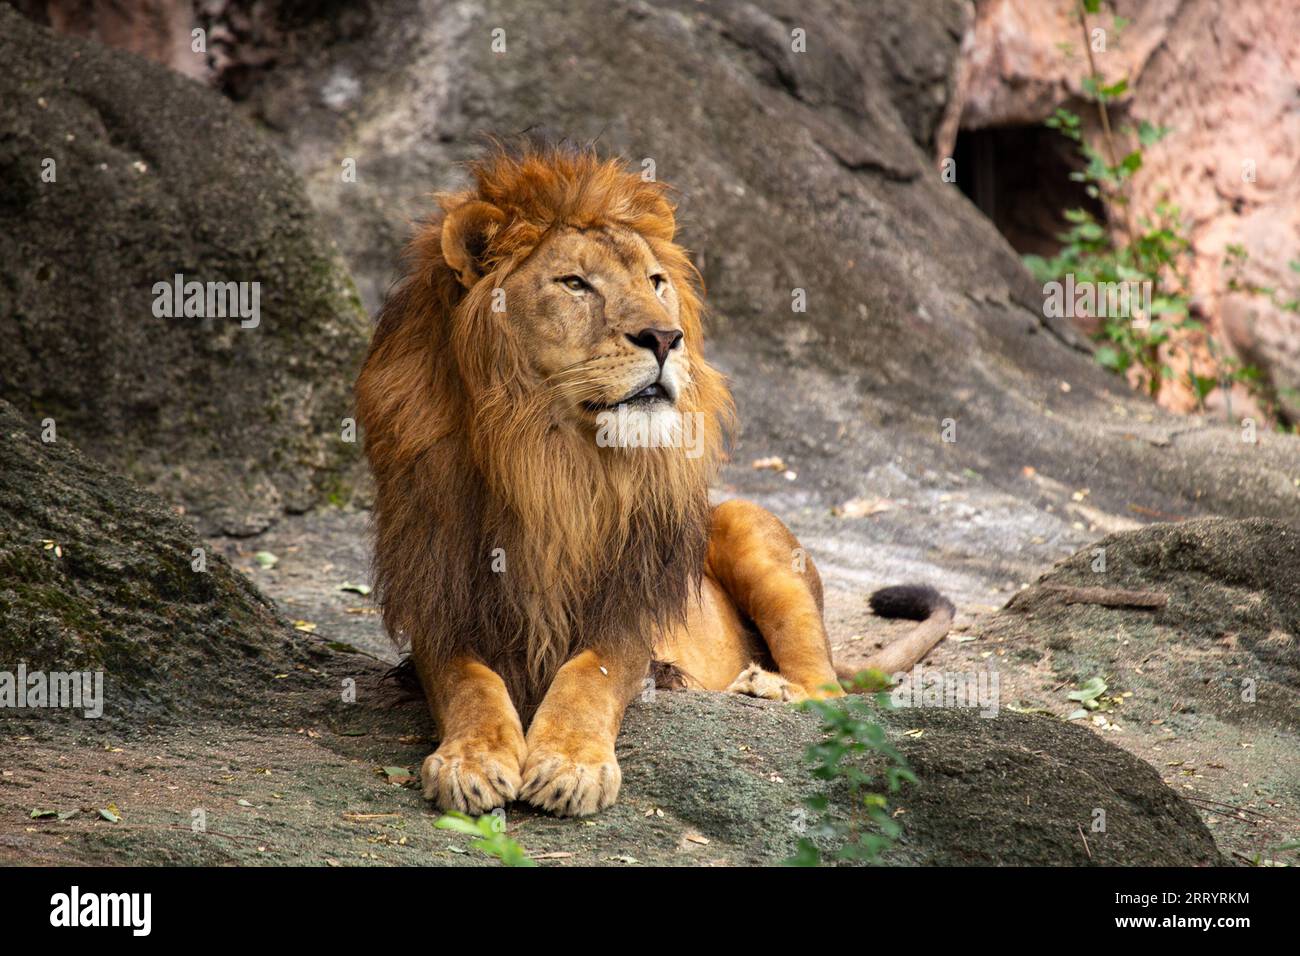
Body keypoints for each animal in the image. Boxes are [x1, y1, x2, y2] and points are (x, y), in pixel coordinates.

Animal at [354, 142, 953, 818]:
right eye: (575, 283)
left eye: (655, 282)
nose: (667, 337)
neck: (546, 458)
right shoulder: (439, 591)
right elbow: (467, 680)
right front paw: (471, 759)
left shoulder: (628, 606)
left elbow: (590, 675)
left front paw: (571, 765)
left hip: (744, 524)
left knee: (830, 691)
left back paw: (767, 687)